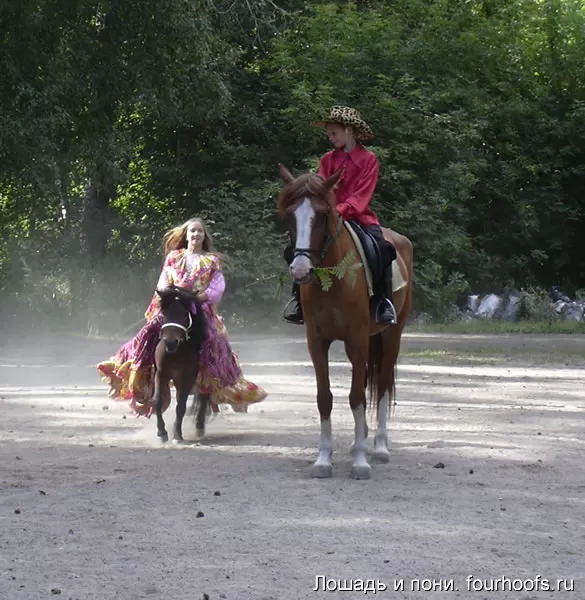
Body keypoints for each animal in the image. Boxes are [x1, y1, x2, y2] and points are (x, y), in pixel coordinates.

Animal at [153, 286, 208, 446]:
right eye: (164, 313)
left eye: (184, 313)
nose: (171, 342)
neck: (176, 352)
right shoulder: (161, 374)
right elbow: (157, 401)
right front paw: (162, 433)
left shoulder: (188, 377)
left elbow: (181, 406)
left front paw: (177, 435)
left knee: (204, 397)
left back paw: (199, 427)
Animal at [278, 164, 410, 478]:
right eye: (290, 215)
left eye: (323, 214)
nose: (300, 269)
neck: (333, 279)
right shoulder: (317, 342)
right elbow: (325, 397)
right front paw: (323, 459)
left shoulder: (357, 339)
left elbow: (357, 397)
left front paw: (361, 462)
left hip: (391, 336)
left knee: (382, 385)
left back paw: (380, 447)